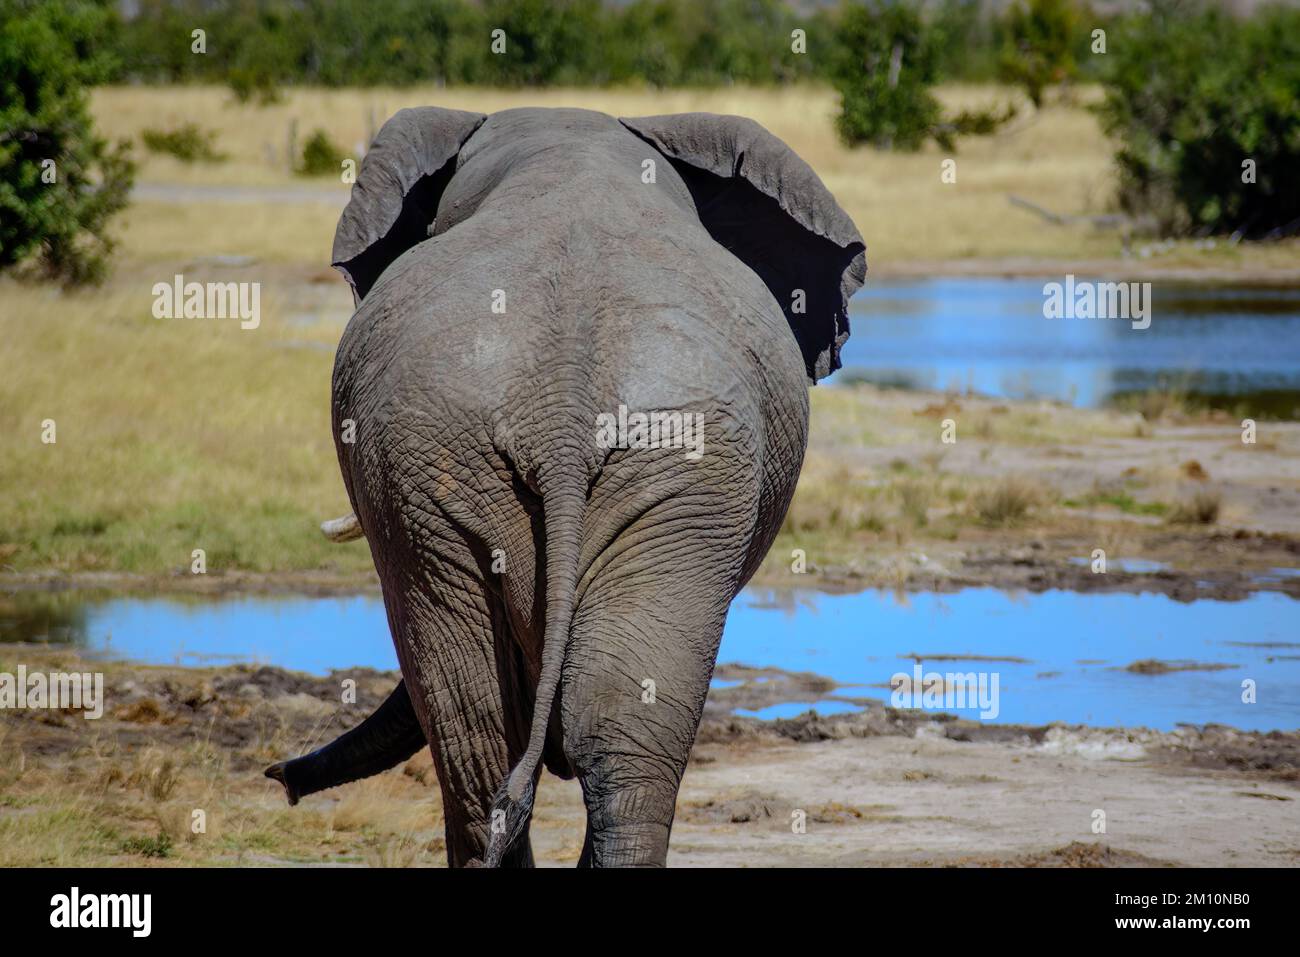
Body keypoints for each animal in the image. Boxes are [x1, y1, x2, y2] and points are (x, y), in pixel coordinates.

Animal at [265, 106, 865, 867]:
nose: (277, 779)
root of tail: (562, 408)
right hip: (471, 461)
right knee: (556, 739)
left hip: (658, 473)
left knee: (506, 736)